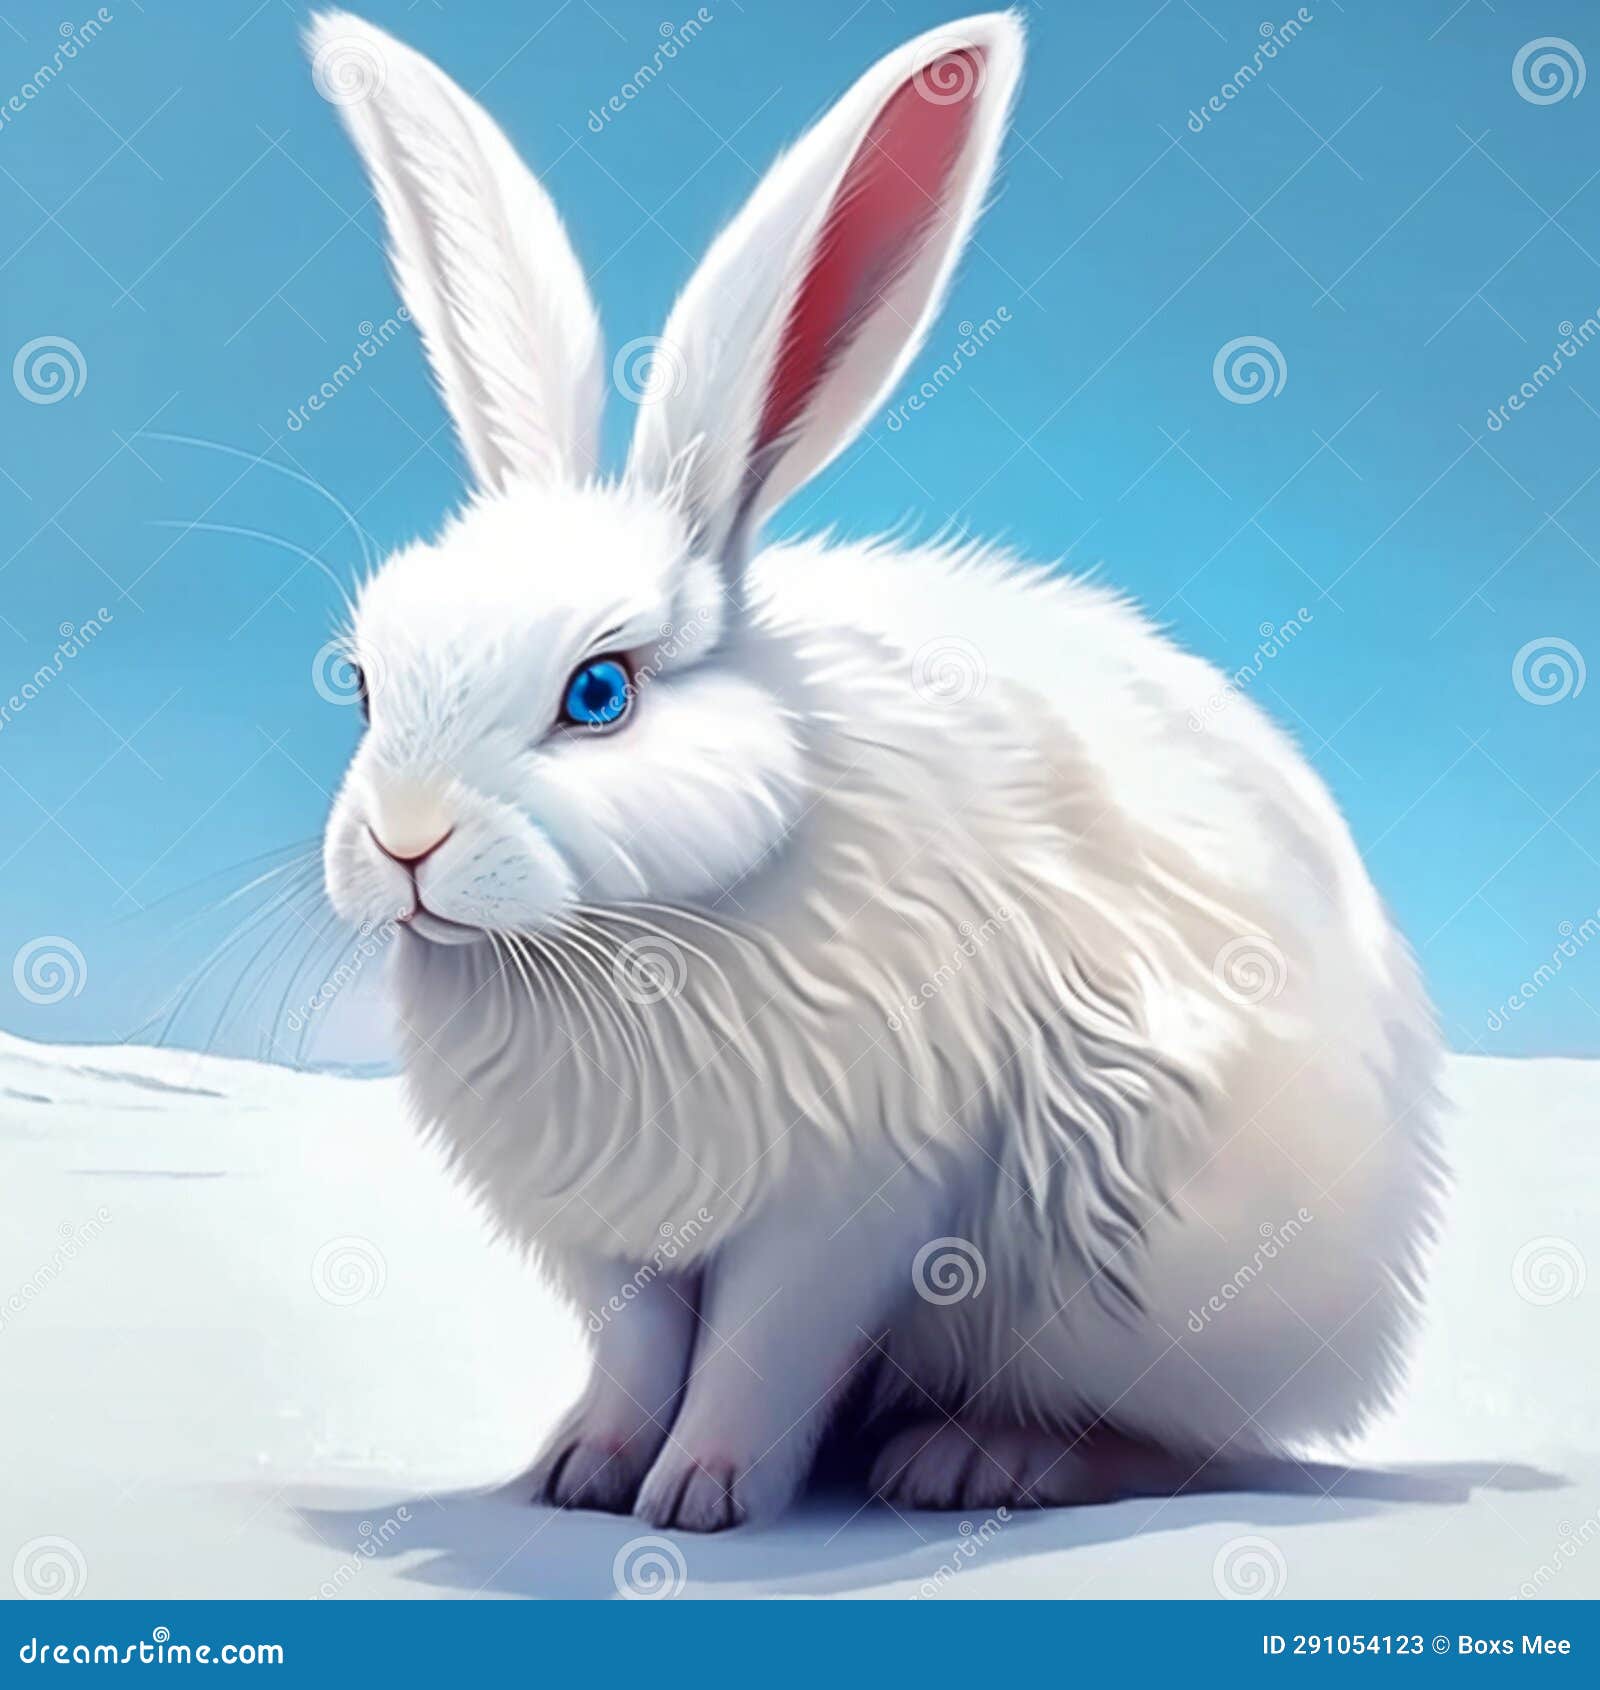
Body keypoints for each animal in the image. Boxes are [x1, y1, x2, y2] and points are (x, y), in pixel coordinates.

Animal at [310, 8, 1444, 1533]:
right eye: (366, 681)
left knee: (1193, 1440)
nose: (405, 843)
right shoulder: (613, 1242)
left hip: (1158, 1261)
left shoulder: (849, 1203)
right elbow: (634, 1351)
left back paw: (979, 1458)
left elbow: (761, 1348)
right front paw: (581, 1475)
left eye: (599, 692)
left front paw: (703, 1498)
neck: (611, 941)